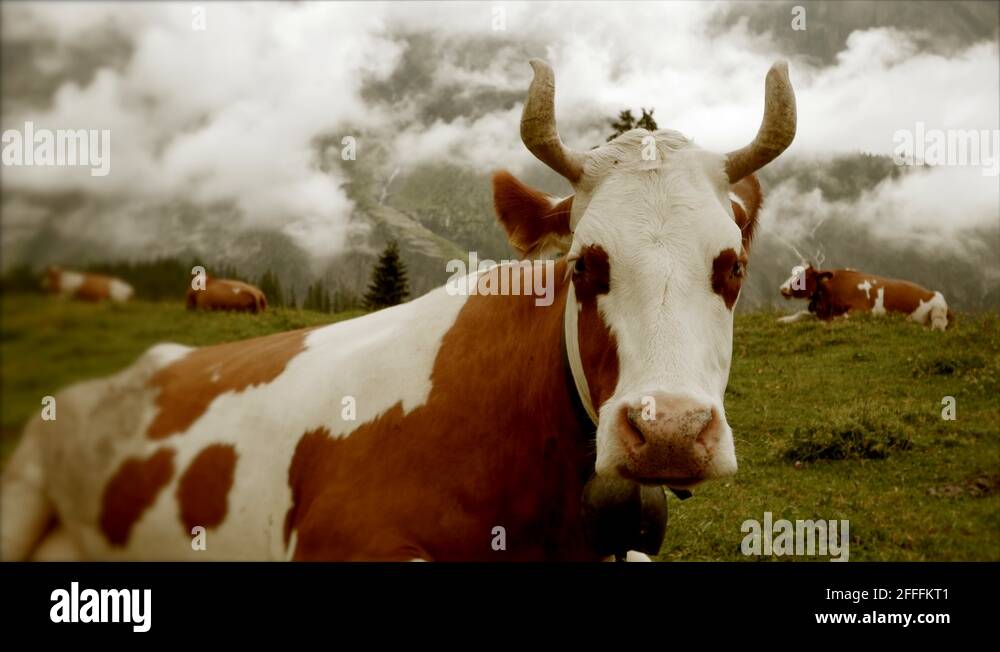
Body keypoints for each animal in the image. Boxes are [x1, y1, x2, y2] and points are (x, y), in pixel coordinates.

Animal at [778, 264, 952, 330]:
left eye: (804, 277)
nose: (782, 289)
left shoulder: (861, 311)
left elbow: (838, 320)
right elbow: (802, 314)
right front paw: (783, 320)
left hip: (938, 310)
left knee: (938, 326)